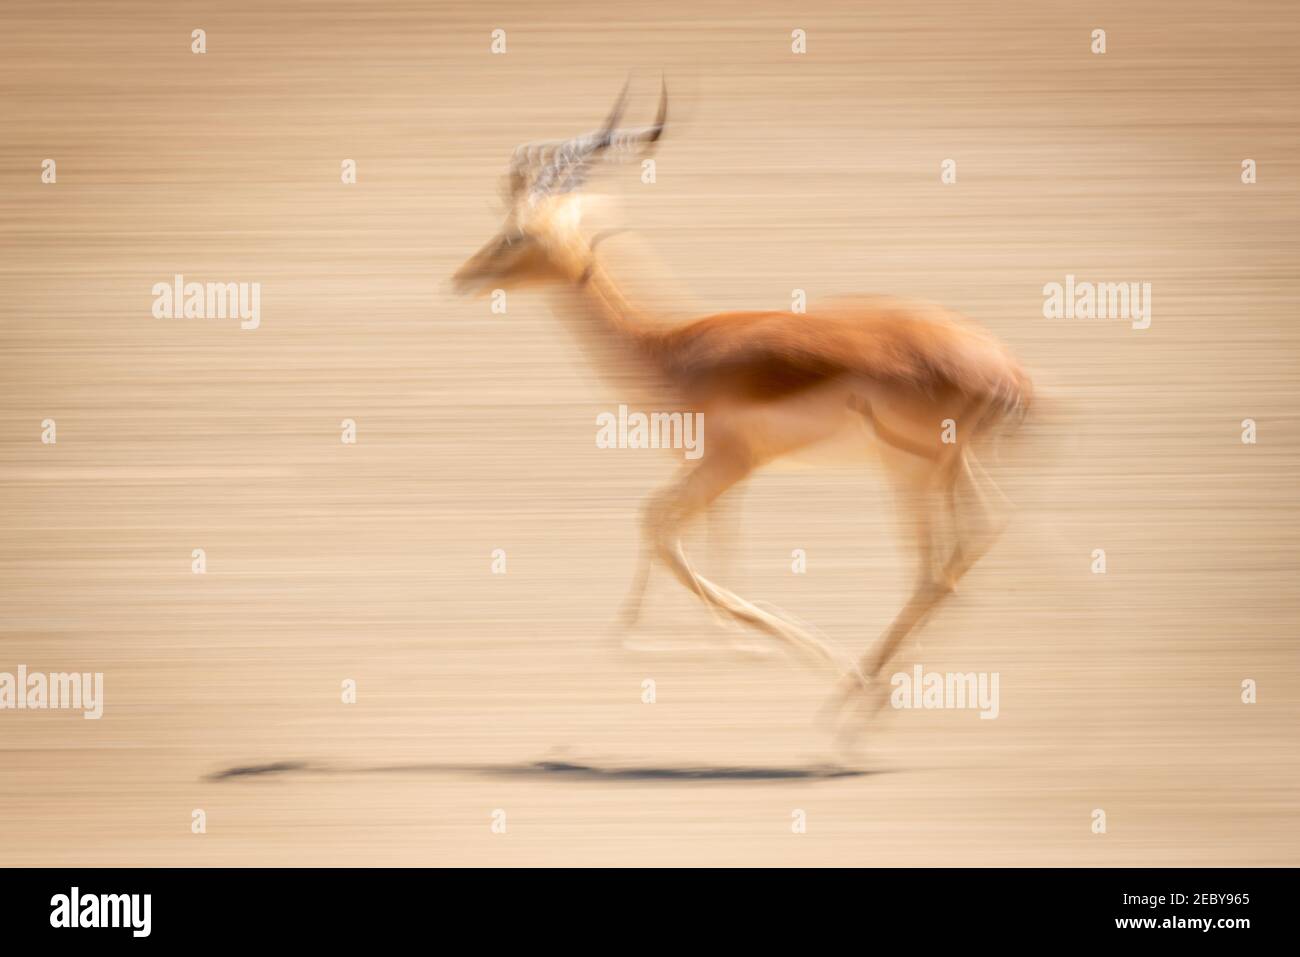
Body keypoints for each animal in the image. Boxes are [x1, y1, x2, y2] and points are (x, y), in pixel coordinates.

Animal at [452, 81, 1033, 717]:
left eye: (516, 234)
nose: (464, 276)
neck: (666, 352)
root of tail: (1006, 370)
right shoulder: (720, 473)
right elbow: (703, 541)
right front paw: (697, 640)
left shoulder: (729, 462)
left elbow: (657, 524)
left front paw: (775, 644)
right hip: (950, 465)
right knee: (982, 535)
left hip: (909, 469)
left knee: (938, 568)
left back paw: (850, 699)